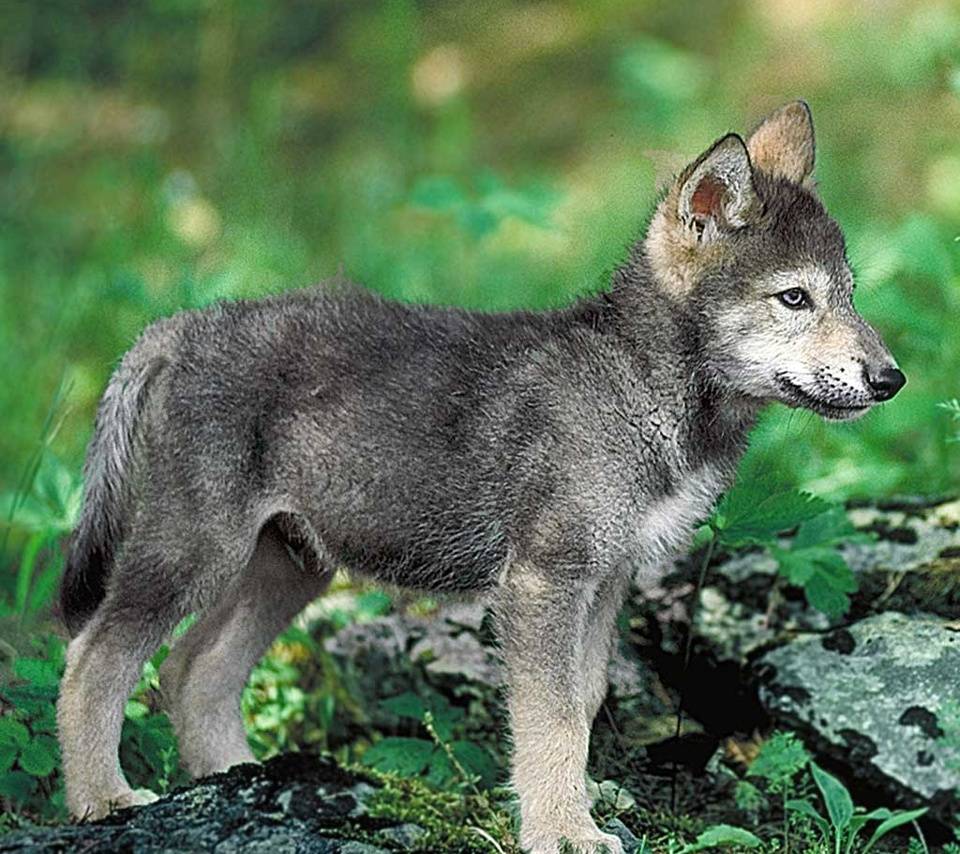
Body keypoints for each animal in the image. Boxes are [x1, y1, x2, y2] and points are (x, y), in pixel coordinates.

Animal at [57, 101, 903, 853]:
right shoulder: (544, 581)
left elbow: (581, 706)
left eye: (851, 294)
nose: (890, 378)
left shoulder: (606, 579)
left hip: (289, 561)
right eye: (793, 297)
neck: (642, 389)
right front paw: (564, 833)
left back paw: (239, 779)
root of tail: (182, 326)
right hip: (195, 547)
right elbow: (550, 719)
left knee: (192, 669)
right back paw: (103, 799)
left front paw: (578, 806)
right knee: (94, 657)